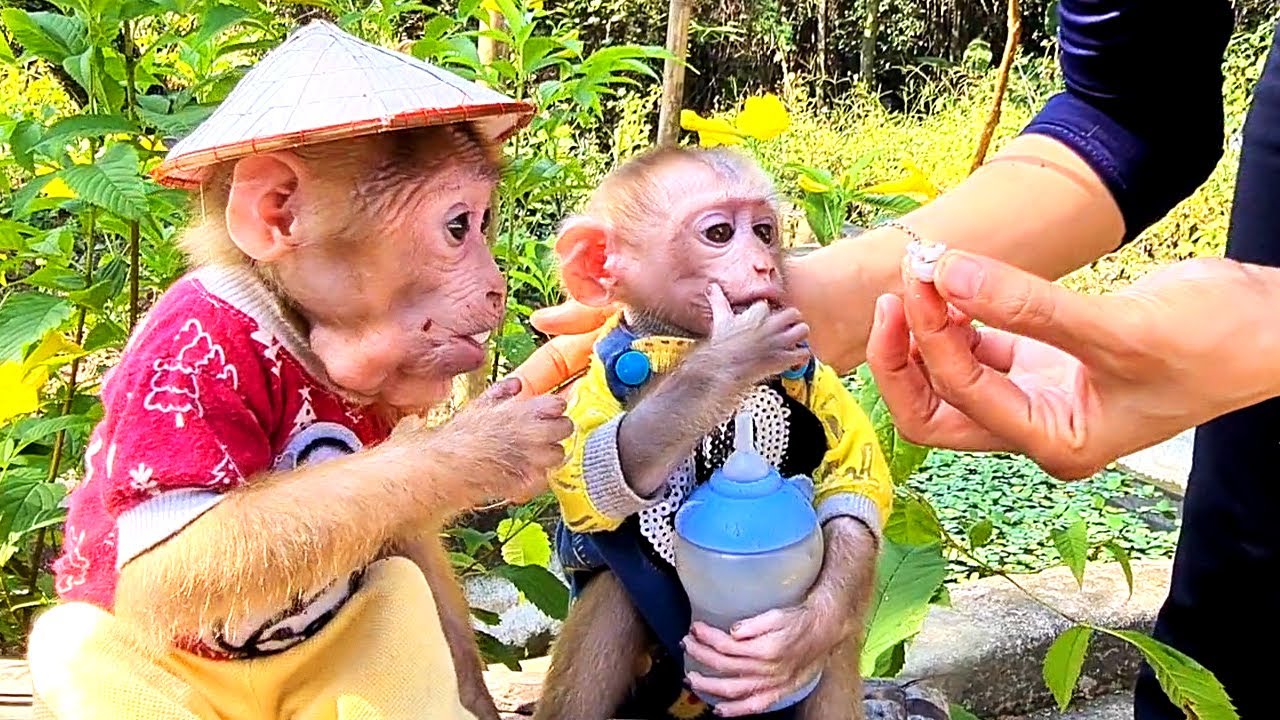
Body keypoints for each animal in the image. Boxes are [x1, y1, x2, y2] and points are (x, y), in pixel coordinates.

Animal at [26, 47, 572, 720]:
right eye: (458, 228)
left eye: (485, 222)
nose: (496, 287)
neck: (296, 328)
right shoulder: (182, 358)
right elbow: (170, 562)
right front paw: (481, 446)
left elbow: (406, 540)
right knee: (85, 642)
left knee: (395, 596)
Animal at [532, 145, 895, 720]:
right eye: (720, 233)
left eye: (765, 232)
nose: (764, 264)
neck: (681, 338)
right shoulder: (591, 382)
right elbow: (590, 477)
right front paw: (735, 350)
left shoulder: (817, 373)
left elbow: (851, 485)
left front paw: (800, 639)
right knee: (613, 592)